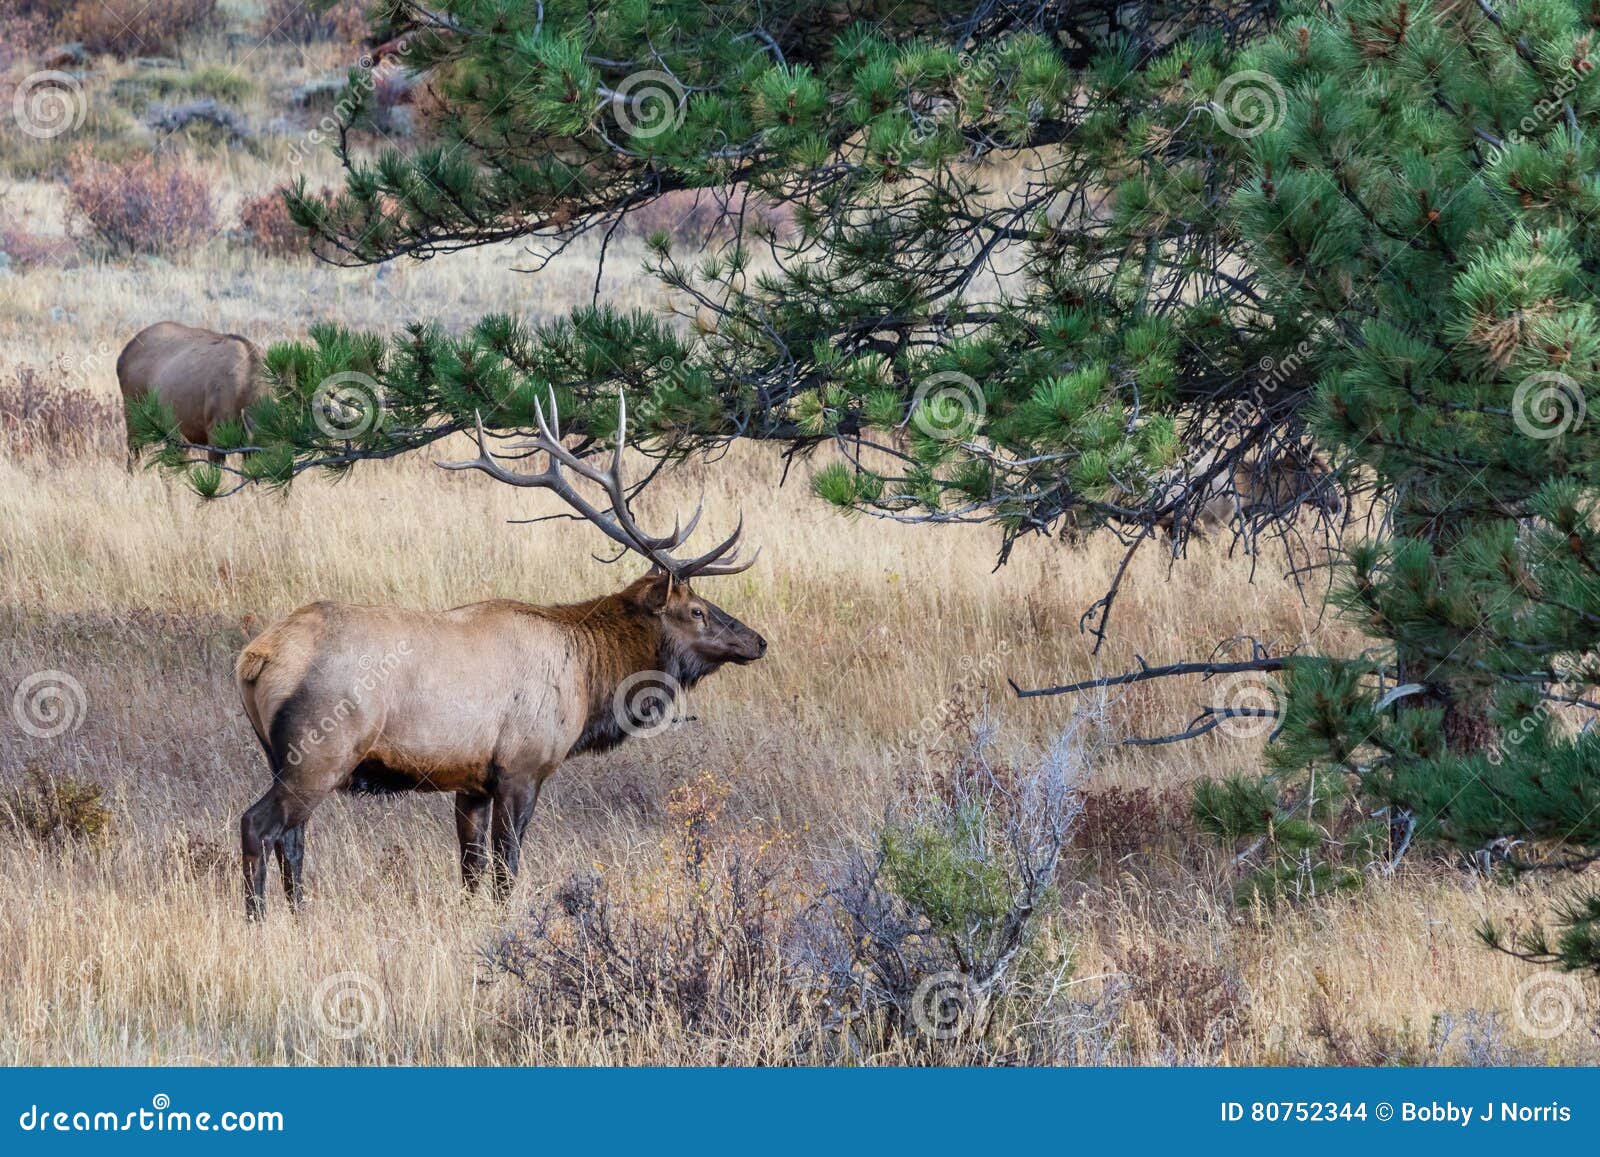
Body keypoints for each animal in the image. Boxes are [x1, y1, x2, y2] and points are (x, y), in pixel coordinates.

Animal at [234, 393, 765, 919]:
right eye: (697, 611)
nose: (757, 640)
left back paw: (299, 916)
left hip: (281, 756)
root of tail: (255, 658)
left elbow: (471, 870)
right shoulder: (522, 767)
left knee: (293, 841)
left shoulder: (472, 783)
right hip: (321, 751)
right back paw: (259, 920)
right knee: (258, 825)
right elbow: (507, 867)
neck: (588, 680)